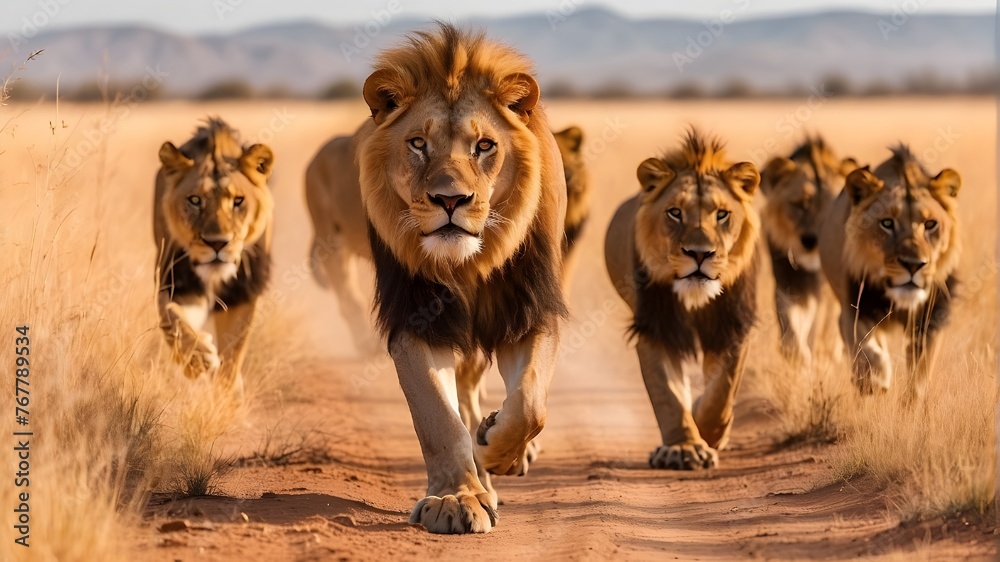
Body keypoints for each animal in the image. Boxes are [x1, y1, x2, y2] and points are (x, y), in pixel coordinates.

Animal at [154, 118, 275, 399]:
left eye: (238, 201)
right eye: (195, 200)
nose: (217, 243)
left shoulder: (244, 293)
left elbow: (234, 352)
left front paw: (227, 395)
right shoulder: (176, 283)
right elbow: (171, 318)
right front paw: (196, 360)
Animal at [350, 24, 566, 534]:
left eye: (484, 146)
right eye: (417, 144)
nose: (451, 200)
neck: (466, 266)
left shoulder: (529, 311)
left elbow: (530, 403)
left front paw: (499, 449)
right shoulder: (416, 319)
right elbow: (438, 418)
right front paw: (456, 498)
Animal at [605, 129, 760, 470]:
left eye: (722, 214)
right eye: (674, 212)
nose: (699, 254)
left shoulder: (732, 325)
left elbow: (722, 392)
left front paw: (709, 432)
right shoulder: (654, 327)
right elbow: (668, 393)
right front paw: (683, 448)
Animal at [760, 137, 856, 365]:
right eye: (799, 204)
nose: (811, 240)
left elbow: (828, 325)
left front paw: (826, 354)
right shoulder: (791, 283)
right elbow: (790, 322)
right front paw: (797, 357)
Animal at [818, 145, 960, 401]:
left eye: (930, 224)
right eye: (886, 223)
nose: (914, 265)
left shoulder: (931, 319)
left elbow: (920, 372)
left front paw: (912, 402)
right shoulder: (853, 309)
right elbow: (866, 347)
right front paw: (875, 379)